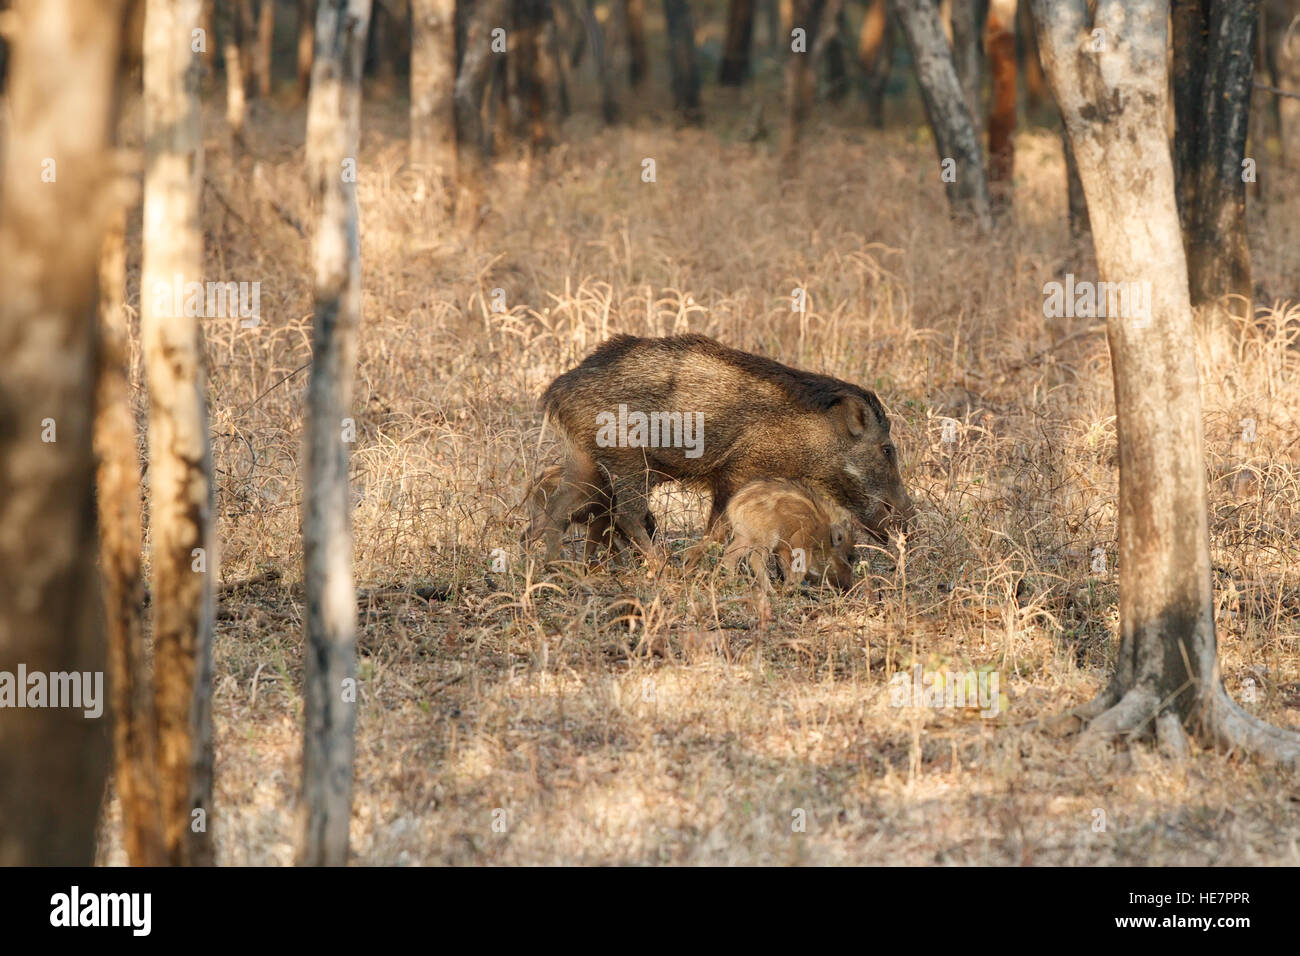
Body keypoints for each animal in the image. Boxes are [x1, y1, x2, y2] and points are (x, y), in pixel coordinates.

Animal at [521, 461, 656, 563]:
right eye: (649, 530)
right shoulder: (599, 524)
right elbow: (592, 550)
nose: (641, 561)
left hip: (539, 516)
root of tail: (535, 481)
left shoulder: (603, 529)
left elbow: (613, 551)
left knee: (525, 535)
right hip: (548, 518)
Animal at [538, 333, 913, 561]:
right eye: (887, 449)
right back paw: (661, 565)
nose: (909, 524)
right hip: (629, 462)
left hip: (587, 462)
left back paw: (554, 567)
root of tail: (557, 389)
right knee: (626, 515)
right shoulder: (736, 471)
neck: (813, 437)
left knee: (556, 510)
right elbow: (719, 528)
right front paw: (690, 562)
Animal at [691, 479, 858, 591]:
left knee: (730, 554)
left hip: (745, 536)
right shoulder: (801, 540)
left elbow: (787, 565)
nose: (848, 588)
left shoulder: (783, 547)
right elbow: (801, 566)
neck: (824, 529)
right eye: (849, 557)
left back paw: (731, 583)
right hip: (767, 537)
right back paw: (770, 591)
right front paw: (789, 589)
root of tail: (733, 506)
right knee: (755, 560)